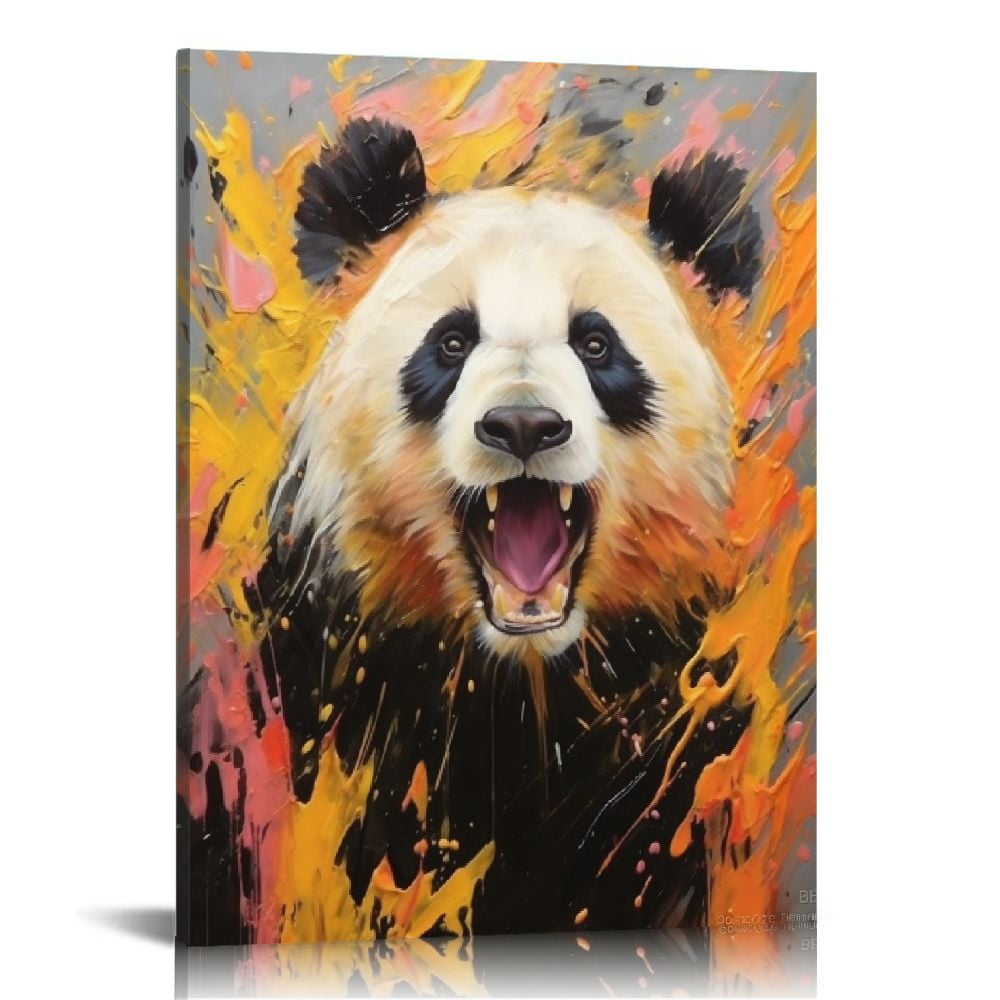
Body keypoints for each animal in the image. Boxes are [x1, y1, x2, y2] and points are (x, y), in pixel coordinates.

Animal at [247, 116, 762, 936]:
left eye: (596, 344)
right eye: (451, 342)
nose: (523, 425)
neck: (521, 677)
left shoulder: (673, 713)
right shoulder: (334, 663)